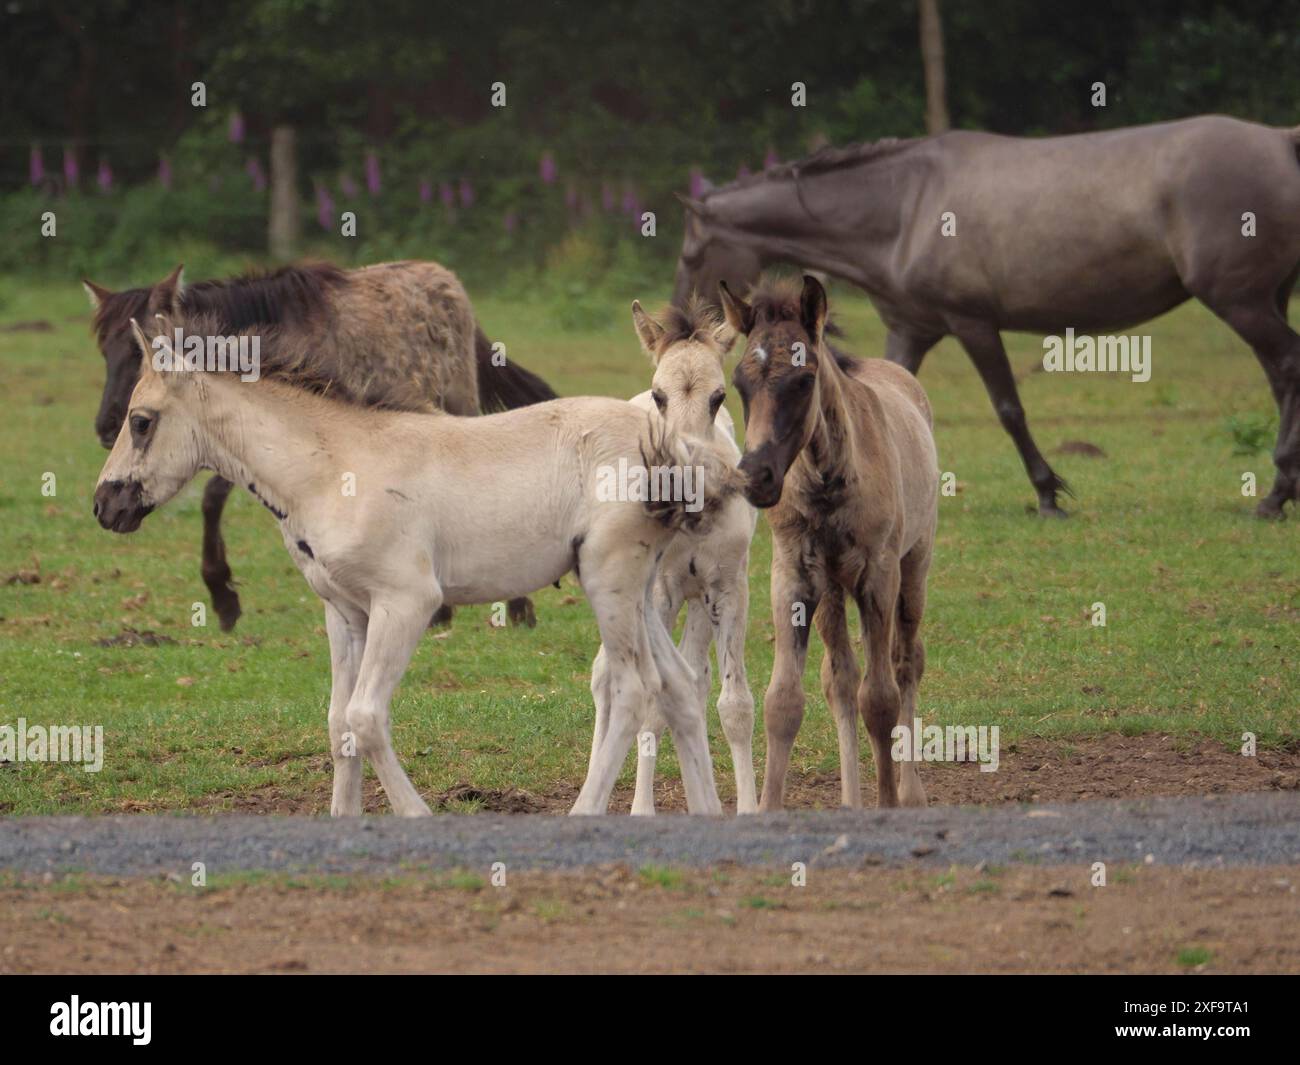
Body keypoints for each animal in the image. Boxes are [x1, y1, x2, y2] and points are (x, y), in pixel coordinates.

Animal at [83, 260, 556, 631]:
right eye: (103, 350)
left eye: (137, 350)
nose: (106, 426)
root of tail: (445, 279)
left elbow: (213, 497)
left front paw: (222, 595)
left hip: (461, 401)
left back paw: (516, 605)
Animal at [93, 315, 743, 816]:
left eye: (141, 420)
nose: (105, 505)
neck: (333, 467)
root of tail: (675, 445)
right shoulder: (345, 613)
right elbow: (338, 723)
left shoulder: (406, 602)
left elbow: (365, 716)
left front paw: (415, 815)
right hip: (640, 591)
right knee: (678, 687)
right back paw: (708, 814)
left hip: (610, 581)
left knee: (634, 689)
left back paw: (586, 814)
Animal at [589, 297, 757, 814]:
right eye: (659, 395)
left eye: (719, 397)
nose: (683, 475)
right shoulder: (660, 593)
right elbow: (650, 701)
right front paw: (642, 810)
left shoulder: (727, 587)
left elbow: (733, 703)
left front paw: (745, 807)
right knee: (605, 676)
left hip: (698, 599)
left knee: (696, 678)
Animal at [675, 116, 1300, 518]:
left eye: (691, 255)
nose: (683, 328)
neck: (907, 205)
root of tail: (1281, 140)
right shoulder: (912, 328)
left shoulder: (972, 324)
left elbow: (1009, 409)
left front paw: (1048, 493)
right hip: (1265, 299)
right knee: (1280, 377)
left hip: (1241, 301)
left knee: (1287, 368)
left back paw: (1275, 493)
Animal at [720, 275, 937, 812]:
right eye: (739, 384)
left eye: (803, 381)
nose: (756, 476)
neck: (827, 481)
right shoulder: (793, 576)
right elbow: (785, 700)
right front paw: (768, 808)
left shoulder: (878, 574)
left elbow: (880, 698)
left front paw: (888, 804)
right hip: (833, 590)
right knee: (839, 678)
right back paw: (850, 799)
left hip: (914, 566)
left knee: (907, 663)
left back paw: (911, 792)